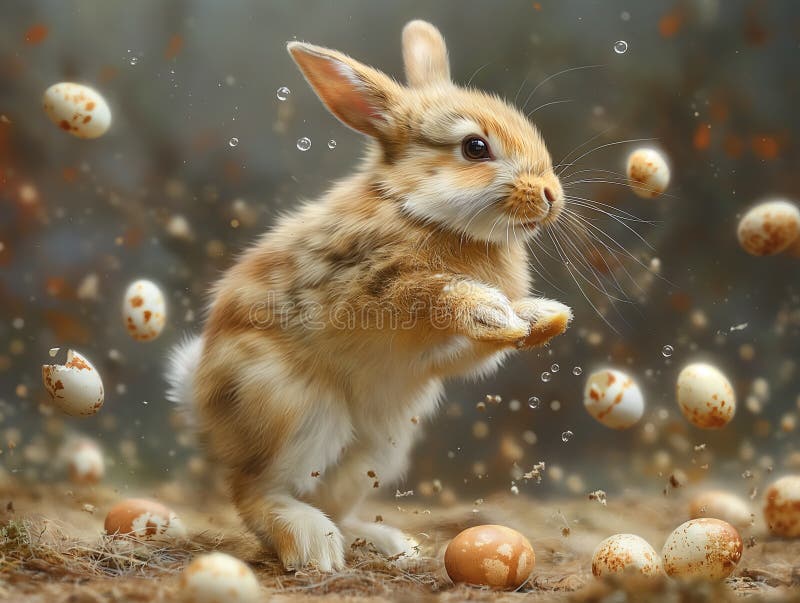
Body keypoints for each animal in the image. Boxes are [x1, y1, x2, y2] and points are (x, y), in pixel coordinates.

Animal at [166, 19, 572, 573]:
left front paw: (542, 317)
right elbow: (431, 292)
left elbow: (470, 352)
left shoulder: (436, 360)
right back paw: (315, 546)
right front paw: (488, 308)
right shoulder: (368, 286)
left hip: (381, 445)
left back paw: (389, 543)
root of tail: (203, 410)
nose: (551, 194)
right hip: (297, 410)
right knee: (254, 491)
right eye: (475, 148)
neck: (416, 208)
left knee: (331, 501)